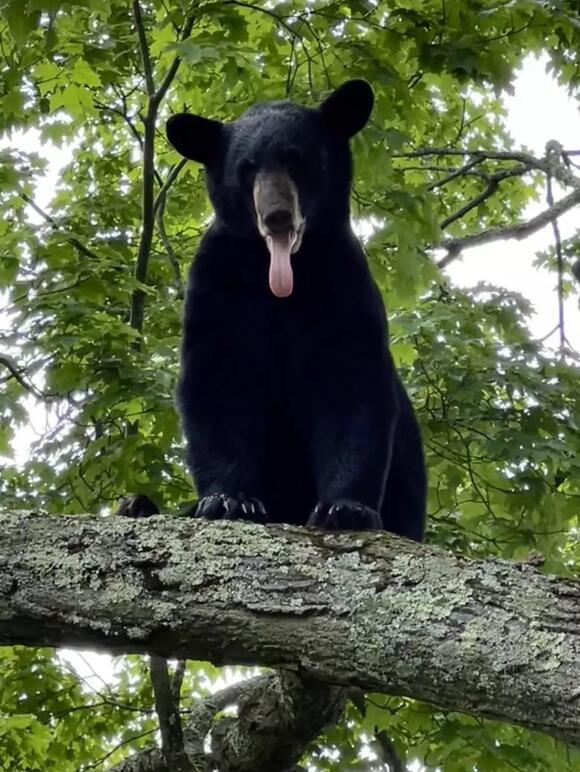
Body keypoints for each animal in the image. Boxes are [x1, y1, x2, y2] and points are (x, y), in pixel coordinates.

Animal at [125, 80, 426, 540]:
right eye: (246, 167)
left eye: (295, 158)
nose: (277, 216)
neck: (280, 282)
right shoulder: (219, 289)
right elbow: (217, 385)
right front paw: (229, 500)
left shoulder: (343, 287)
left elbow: (352, 389)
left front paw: (345, 508)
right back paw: (137, 504)